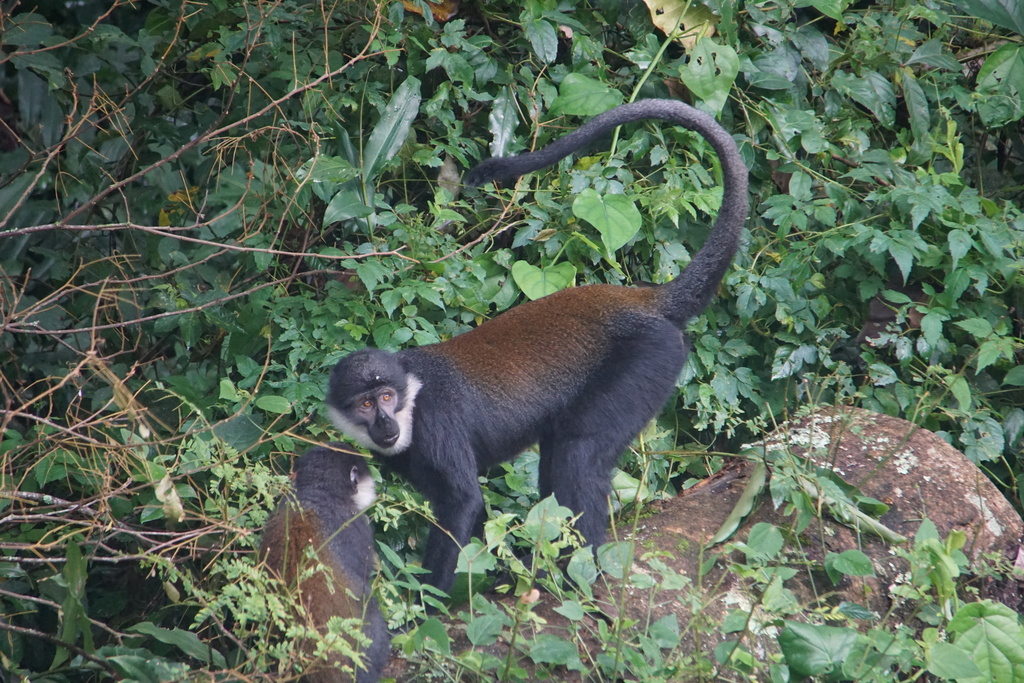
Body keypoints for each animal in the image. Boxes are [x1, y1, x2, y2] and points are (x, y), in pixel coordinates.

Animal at [326, 99, 749, 594]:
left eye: (387, 397)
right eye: (366, 403)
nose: (386, 424)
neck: (412, 400)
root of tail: (644, 301)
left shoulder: (436, 427)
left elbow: (463, 503)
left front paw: (428, 603)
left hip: (648, 359)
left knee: (578, 452)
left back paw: (579, 570)